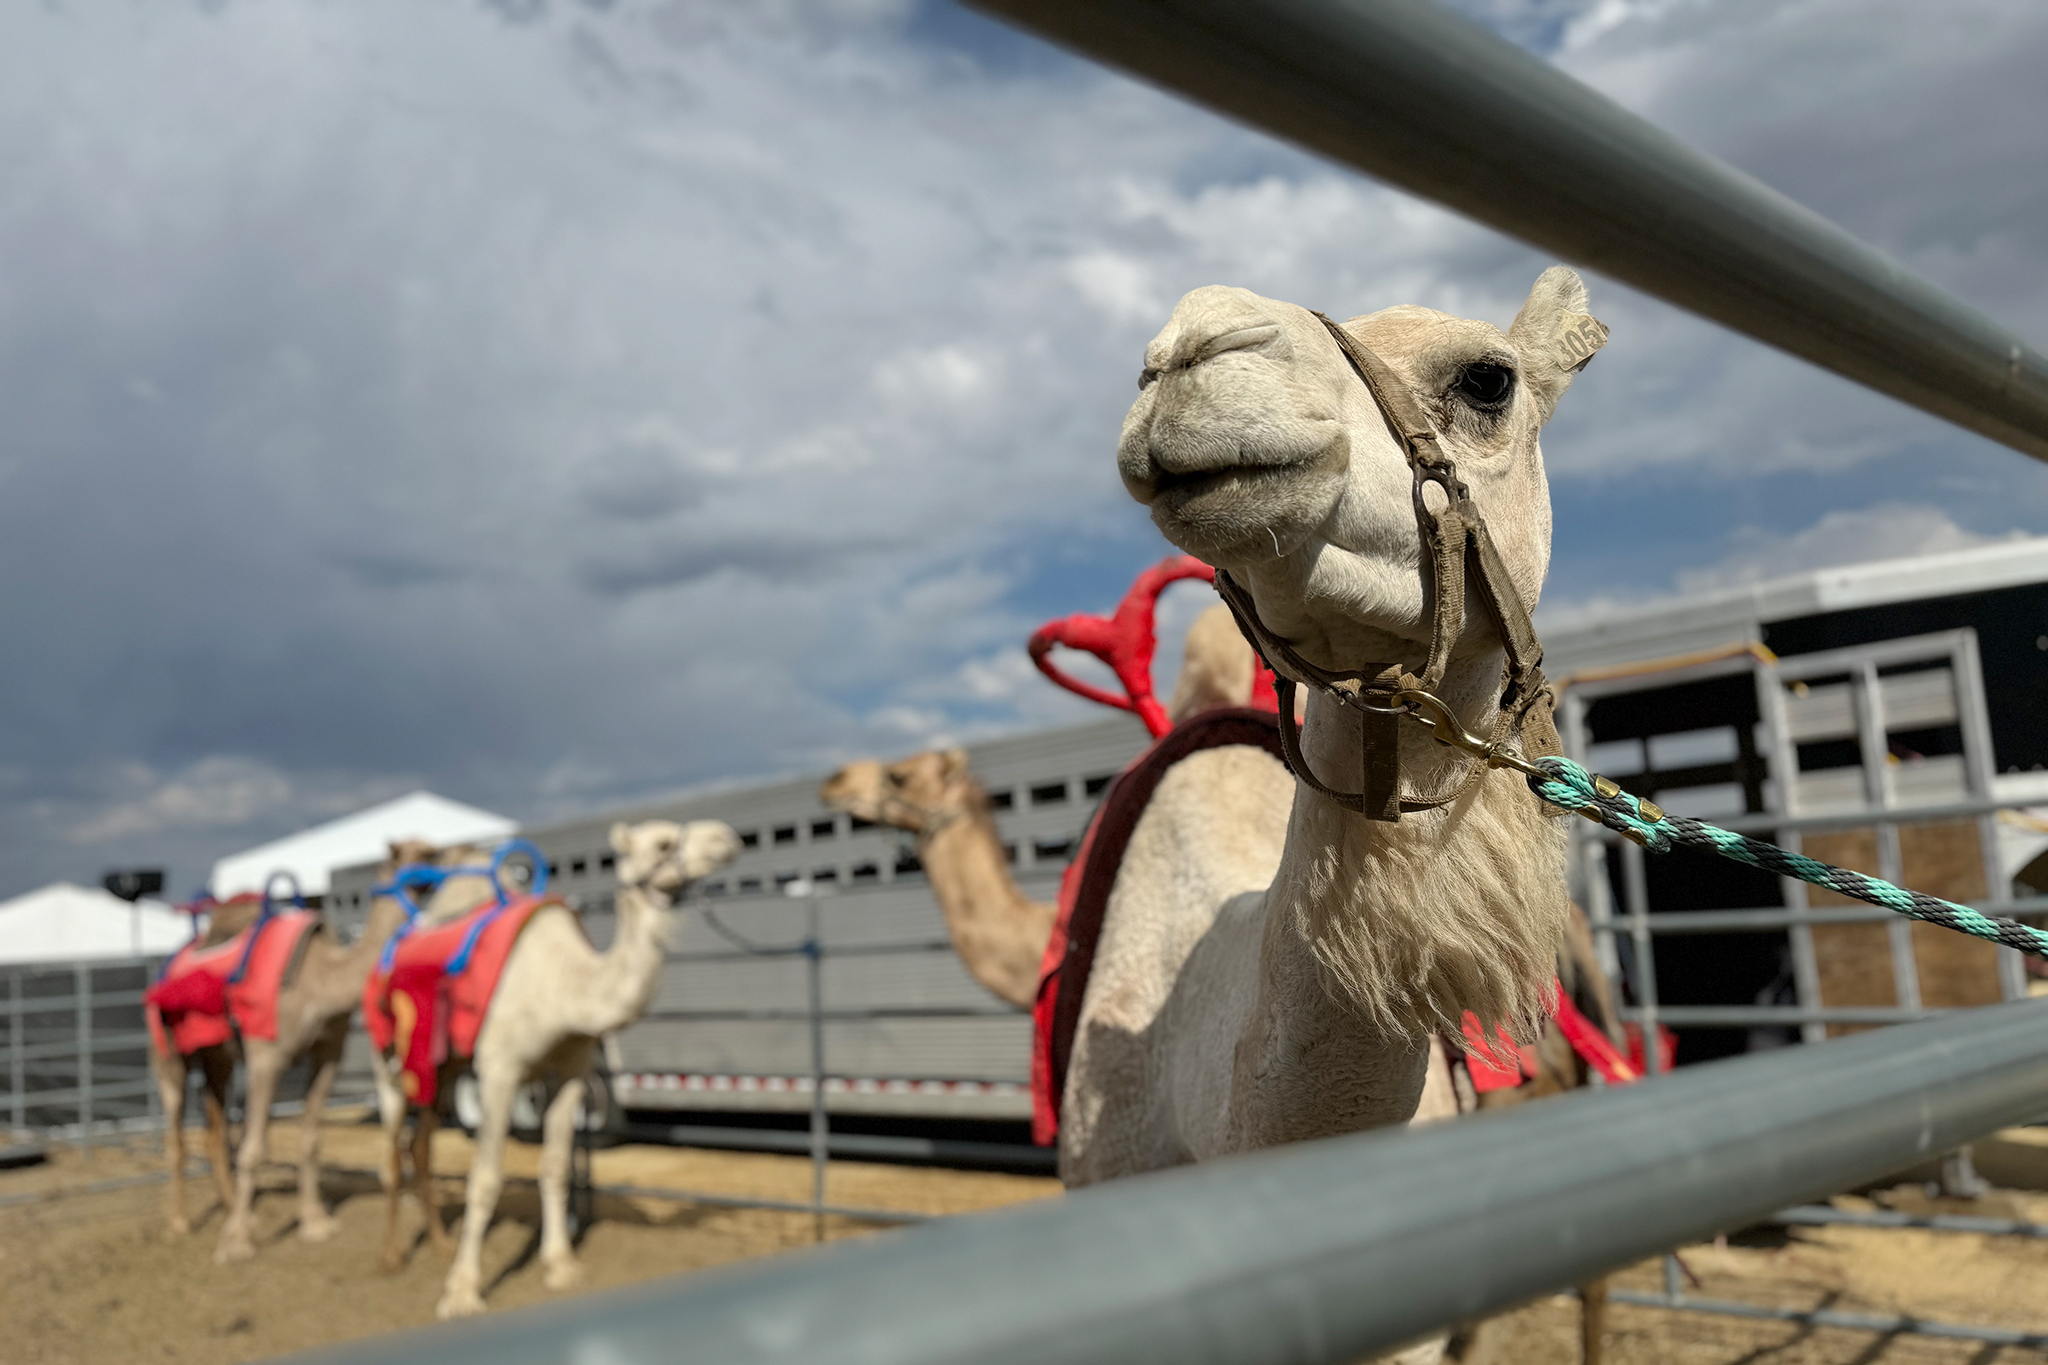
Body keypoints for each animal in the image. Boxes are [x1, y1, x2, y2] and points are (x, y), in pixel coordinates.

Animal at [211, 839, 444, 1263]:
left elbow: (310, 1139)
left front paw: (315, 1223)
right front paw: (236, 1244)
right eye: (419, 853)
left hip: (217, 1057)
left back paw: (237, 1209)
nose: (446, 860)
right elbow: (254, 1147)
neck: (321, 983)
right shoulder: (265, 1057)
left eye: (431, 850)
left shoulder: (328, 1054)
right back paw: (188, 1223)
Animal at [367, 818, 740, 1318]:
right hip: (387, 1056)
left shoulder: (571, 1067)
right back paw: (391, 1257)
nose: (725, 836)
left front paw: (560, 1265)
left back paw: (442, 1244)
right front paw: (462, 1292)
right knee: (391, 1151)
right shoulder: (500, 1068)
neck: (565, 988)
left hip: (442, 1067)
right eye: (663, 843)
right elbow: (485, 1178)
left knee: (421, 1143)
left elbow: (558, 1164)